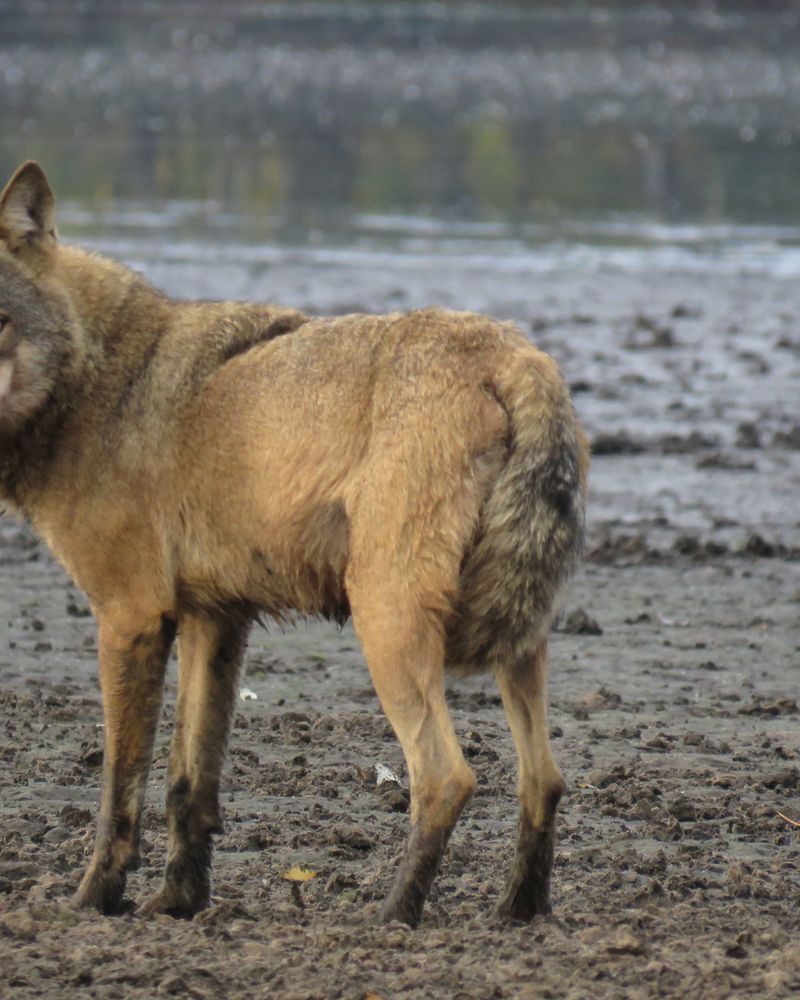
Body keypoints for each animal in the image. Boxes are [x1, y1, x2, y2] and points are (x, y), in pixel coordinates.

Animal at [0, 161, 588, 927]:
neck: (97, 383)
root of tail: (514, 353)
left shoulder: (129, 620)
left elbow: (118, 793)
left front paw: (93, 901)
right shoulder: (214, 621)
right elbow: (189, 783)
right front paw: (179, 903)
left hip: (387, 628)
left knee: (448, 777)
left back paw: (392, 915)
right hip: (515, 643)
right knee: (544, 778)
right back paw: (518, 913)